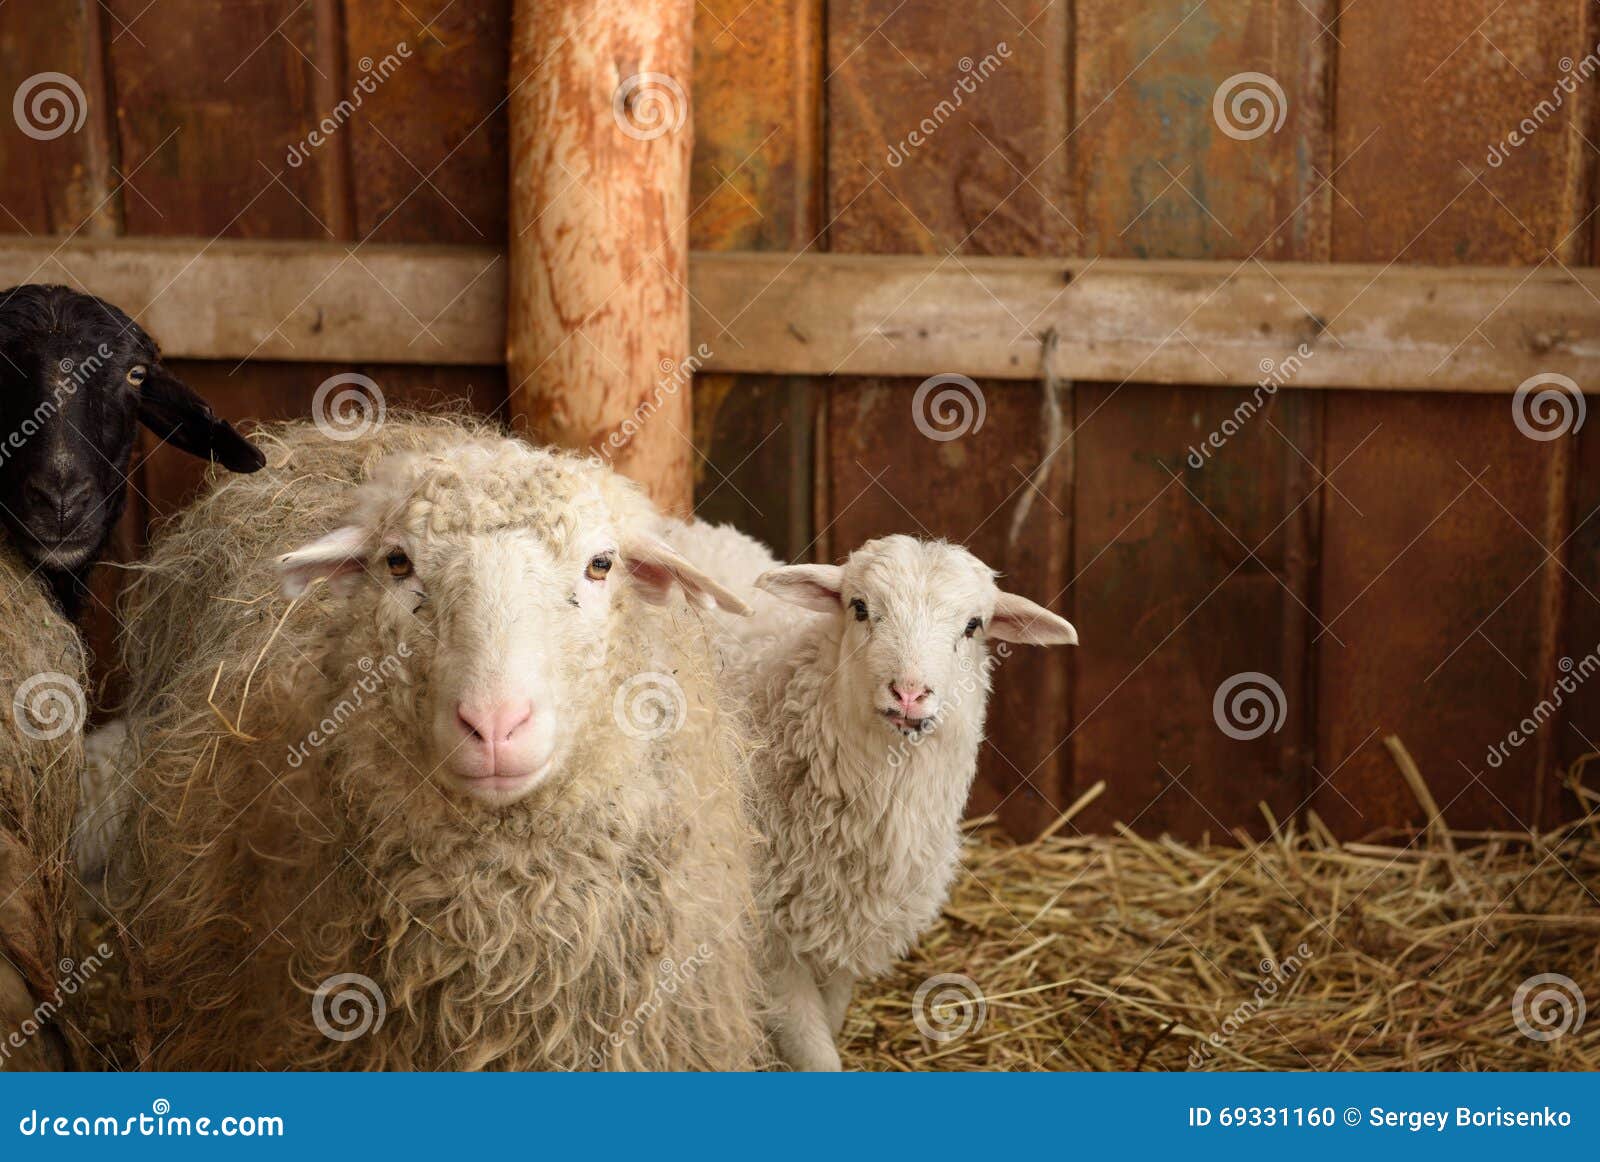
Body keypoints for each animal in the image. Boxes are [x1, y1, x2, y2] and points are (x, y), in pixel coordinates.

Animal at [665, 522, 1078, 1071]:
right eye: (859, 608)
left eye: (973, 626)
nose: (909, 693)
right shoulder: (768, 939)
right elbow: (816, 1053)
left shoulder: (853, 925)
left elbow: (834, 1016)